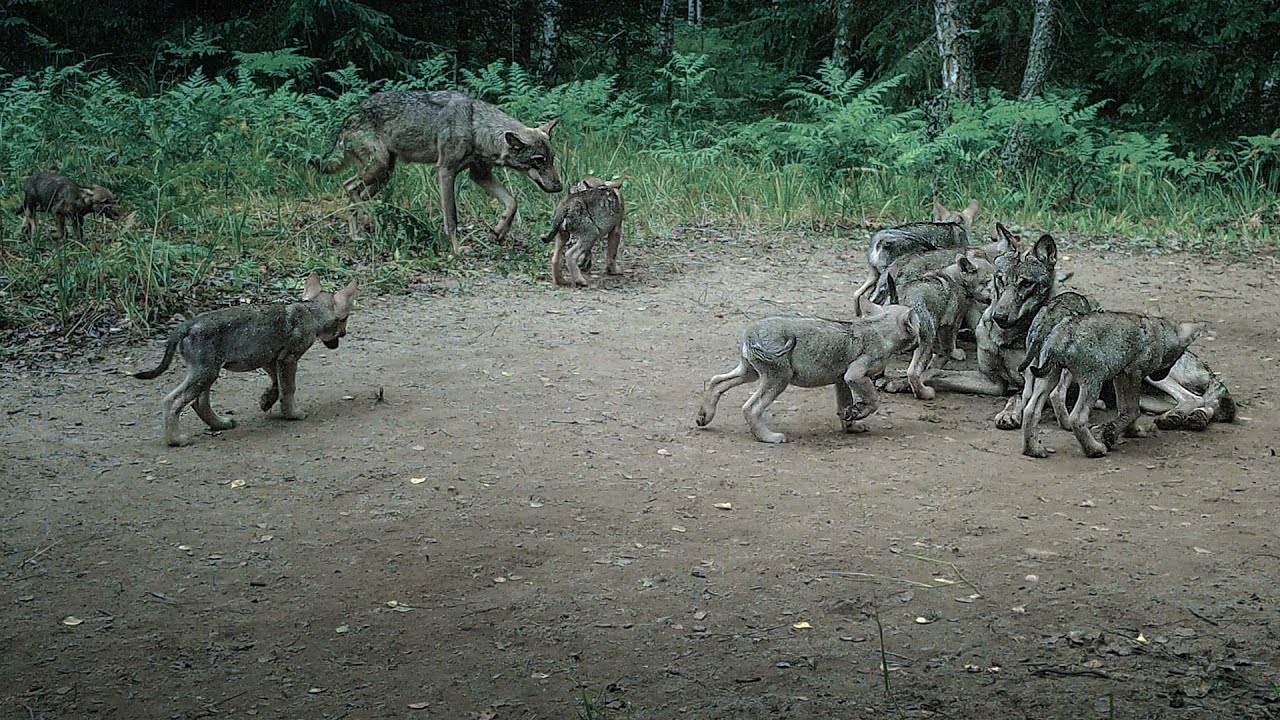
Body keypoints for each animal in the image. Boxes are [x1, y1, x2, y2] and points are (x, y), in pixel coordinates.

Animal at [133, 274, 357, 447]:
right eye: (344, 320)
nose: (345, 334)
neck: (311, 311)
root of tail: (187, 325)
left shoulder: (270, 359)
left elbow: (276, 384)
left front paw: (266, 401)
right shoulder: (288, 359)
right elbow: (288, 389)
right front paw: (292, 414)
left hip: (207, 374)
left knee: (199, 403)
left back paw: (220, 424)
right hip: (205, 373)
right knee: (173, 401)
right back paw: (176, 440)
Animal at [318, 90, 563, 254]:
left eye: (552, 159)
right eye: (539, 161)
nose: (559, 187)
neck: (476, 127)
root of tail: (348, 118)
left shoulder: (479, 175)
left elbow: (512, 203)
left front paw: (499, 230)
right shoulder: (446, 171)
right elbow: (452, 218)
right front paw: (457, 250)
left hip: (384, 174)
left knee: (354, 194)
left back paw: (358, 233)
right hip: (379, 168)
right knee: (348, 186)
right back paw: (367, 222)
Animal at [694, 299, 920, 443]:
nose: (921, 338)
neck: (880, 329)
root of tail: (750, 333)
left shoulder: (841, 380)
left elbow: (843, 405)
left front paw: (851, 424)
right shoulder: (854, 375)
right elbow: (873, 400)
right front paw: (858, 412)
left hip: (749, 373)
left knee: (716, 381)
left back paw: (704, 416)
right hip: (778, 379)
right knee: (750, 408)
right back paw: (769, 438)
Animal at [1020, 311, 1202, 458]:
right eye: (1177, 358)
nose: (1159, 377)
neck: (1158, 333)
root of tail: (1065, 333)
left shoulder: (1120, 375)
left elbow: (1126, 409)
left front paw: (1132, 431)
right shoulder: (1131, 373)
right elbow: (1133, 410)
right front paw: (1113, 434)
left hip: (1049, 377)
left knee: (1031, 410)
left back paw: (1033, 450)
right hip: (1093, 382)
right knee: (1077, 418)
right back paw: (1094, 449)